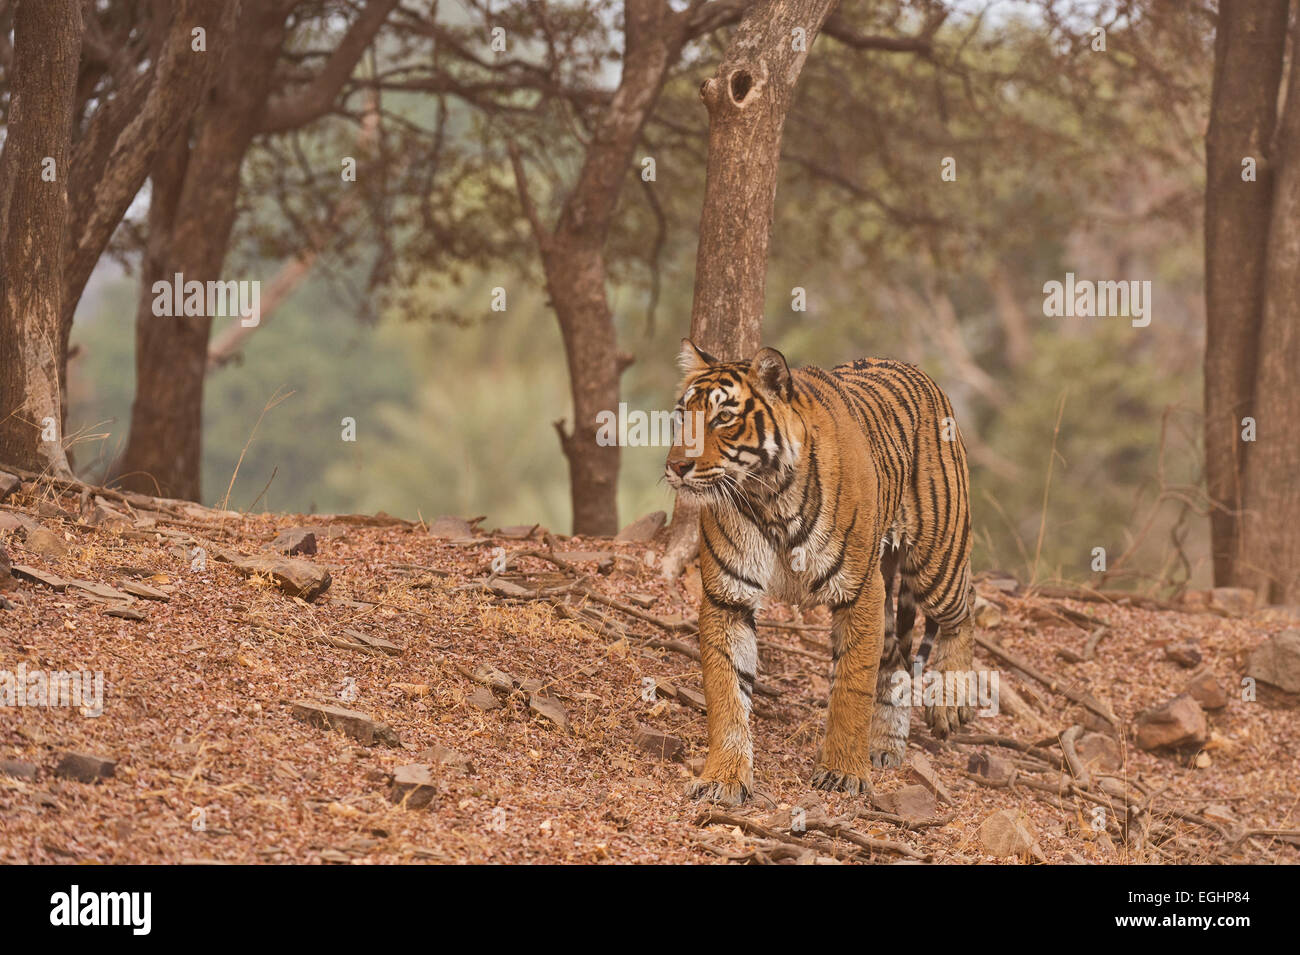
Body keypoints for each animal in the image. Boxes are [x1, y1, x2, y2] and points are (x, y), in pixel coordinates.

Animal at [664, 340, 975, 805]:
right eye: (683, 415)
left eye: (724, 418)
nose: (677, 466)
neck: (767, 495)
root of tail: (916, 369)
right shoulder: (728, 596)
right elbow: (726, 692)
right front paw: (724, 777)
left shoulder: (860, 591)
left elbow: (851, 688)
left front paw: (842, 772)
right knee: (895, 660)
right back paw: (885, 745)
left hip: (938, 561)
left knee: (966, 608)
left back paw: (951, 704)